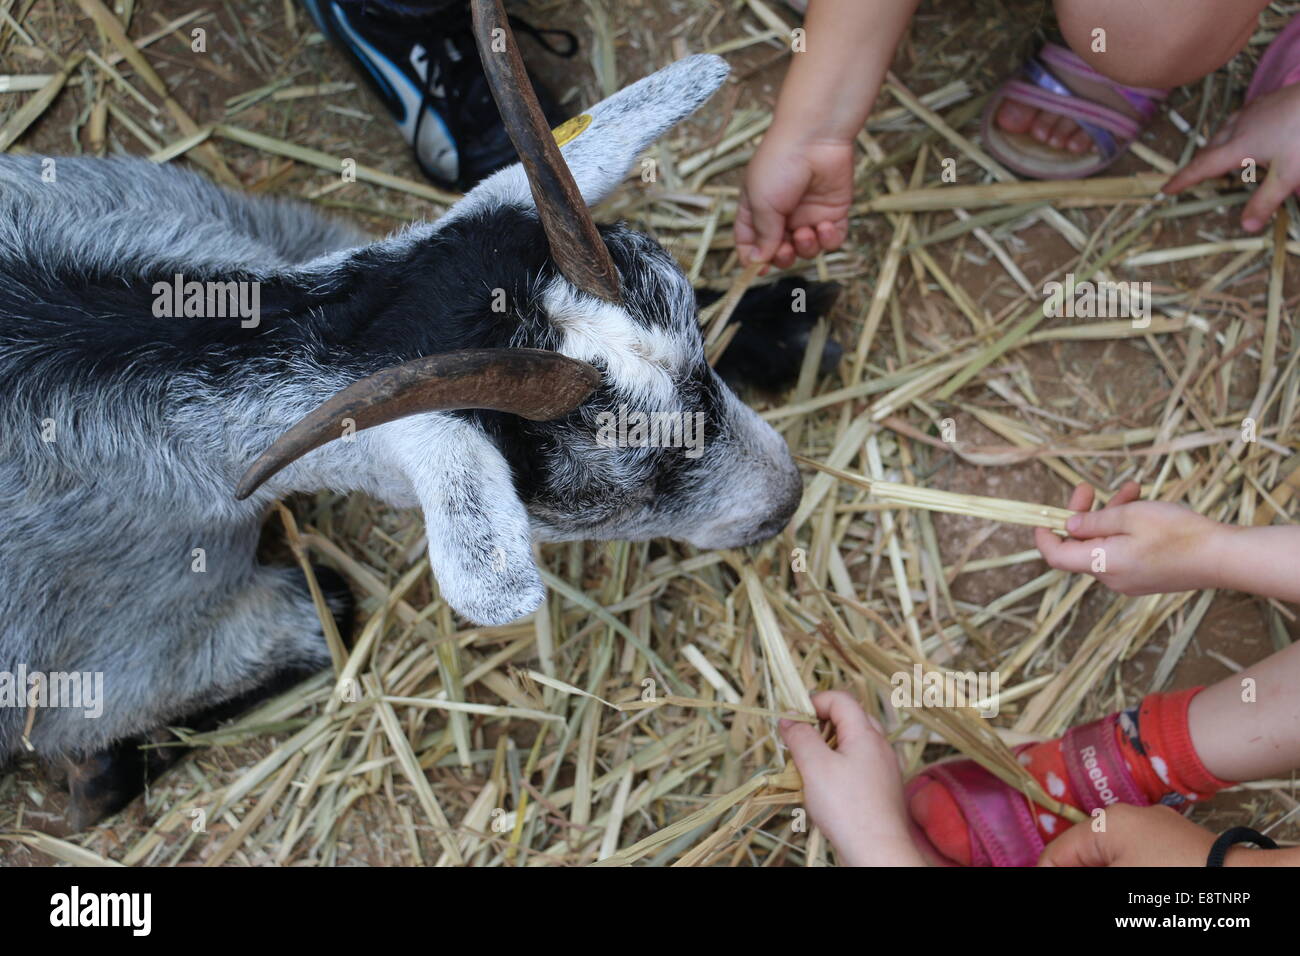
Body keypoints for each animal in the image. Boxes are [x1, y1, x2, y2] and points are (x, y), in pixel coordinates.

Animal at [0, 0, 807, 827]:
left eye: (692, 327)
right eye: (606, 495)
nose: (787, 497)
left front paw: (780, 315)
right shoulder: (114, 654)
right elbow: (324, 602)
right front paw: (101, 772)